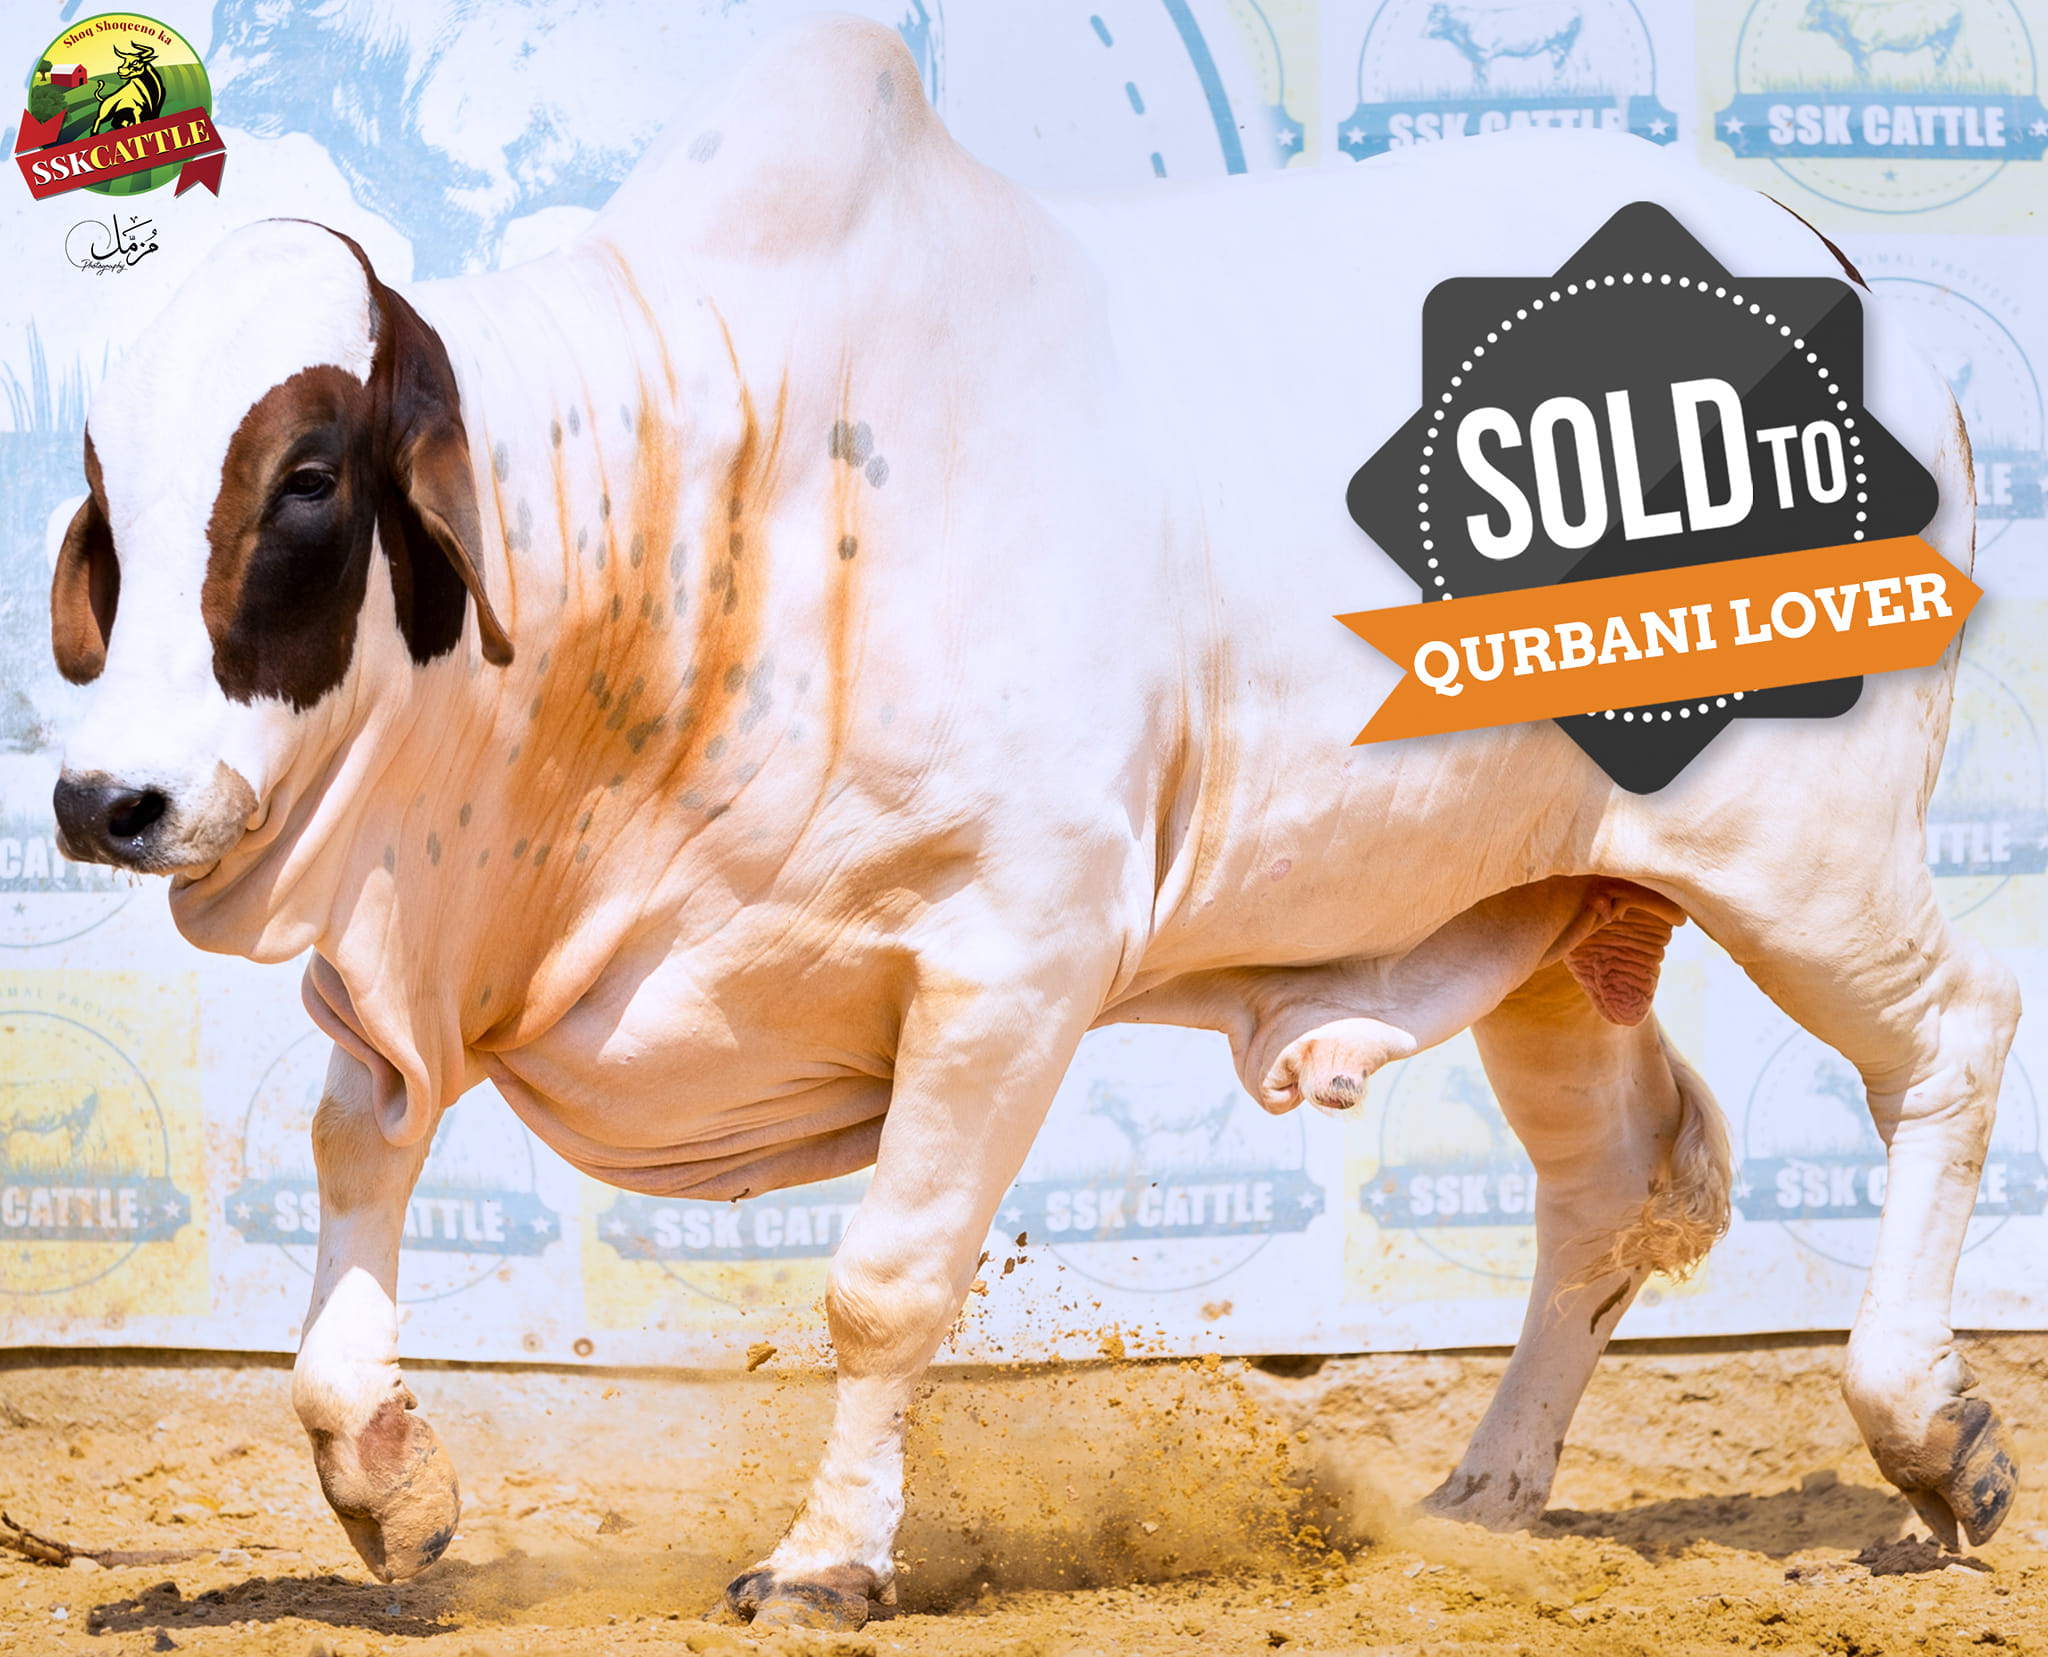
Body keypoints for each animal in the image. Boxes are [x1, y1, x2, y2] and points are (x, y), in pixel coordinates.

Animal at [47, 16, 2016, 1633]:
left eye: (310, 479)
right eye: (110, 504)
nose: (105, 798)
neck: (692, 522)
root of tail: (1819, 259)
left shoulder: (1012, 956)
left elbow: (882, 1284)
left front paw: (826, 1555)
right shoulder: (407, 984)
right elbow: (345, 1217)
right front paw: (395, 1491)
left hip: (1811, 858)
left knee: (1950, 1042)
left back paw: (1927, 1428)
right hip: (1552, 913)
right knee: (1614, 1181)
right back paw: (1487, 1489)